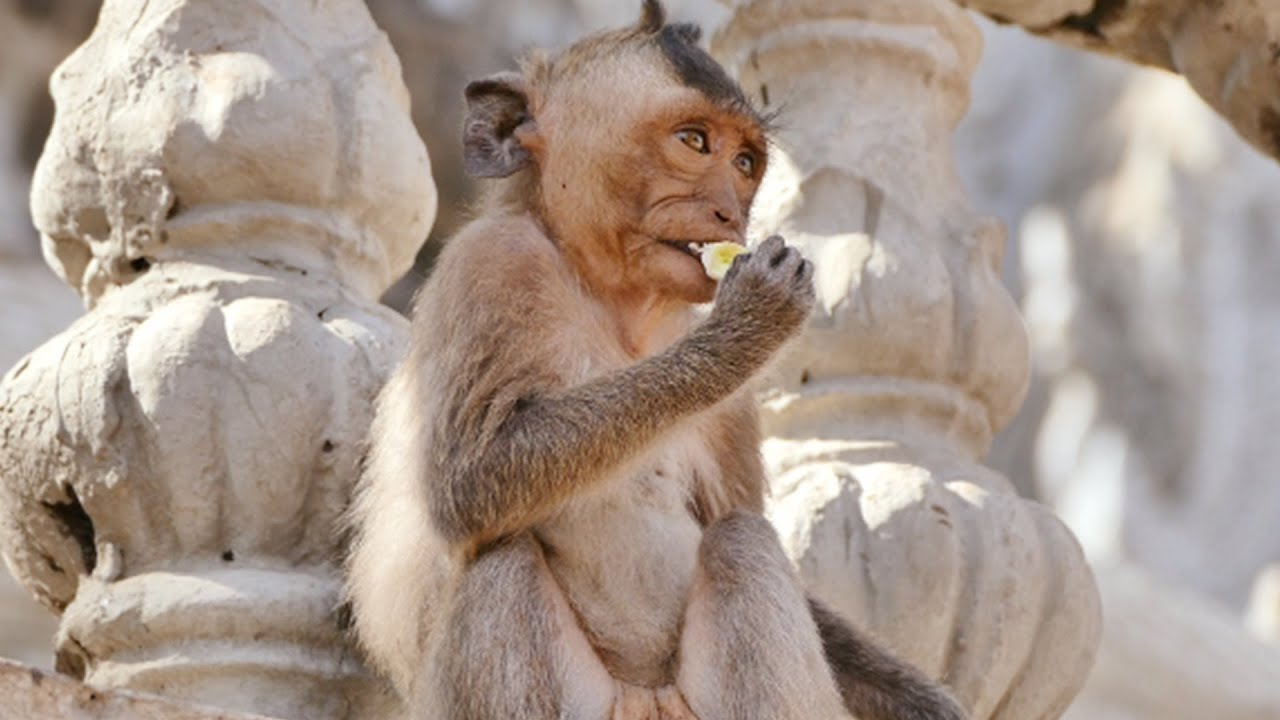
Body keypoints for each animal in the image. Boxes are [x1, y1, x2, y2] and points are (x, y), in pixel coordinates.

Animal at [345, 2, 969, 719]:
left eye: (746, 160)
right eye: (694, 141)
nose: (728, 212)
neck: (611, 301)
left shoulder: (733, 409)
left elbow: (732, 510)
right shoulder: (492, 266)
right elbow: (471, 483)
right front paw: (747, 326)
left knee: (740, 540)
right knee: (503, 560)